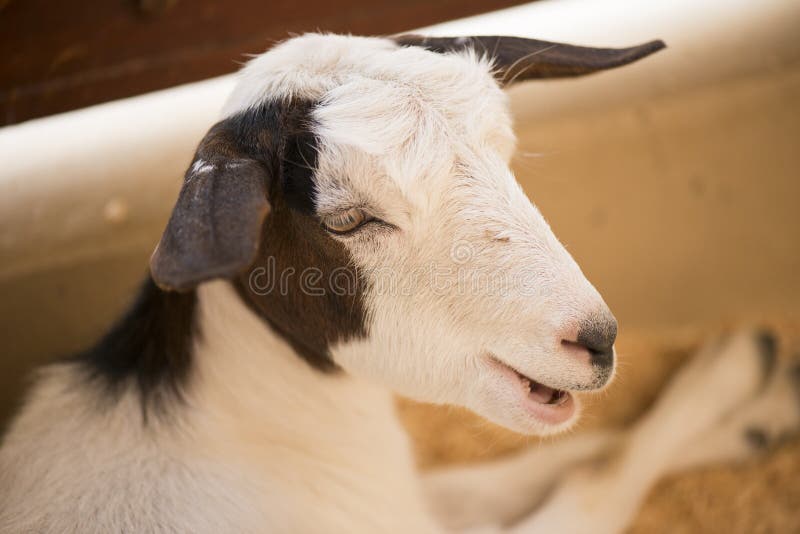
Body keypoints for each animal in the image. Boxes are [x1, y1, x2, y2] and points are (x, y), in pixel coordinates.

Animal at [1, 33, 798, 534]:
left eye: (506, 151)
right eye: (348, 218)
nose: (595, 341)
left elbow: (556, 457)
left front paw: (760, 410)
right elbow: (595, 484)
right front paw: (733, 374)